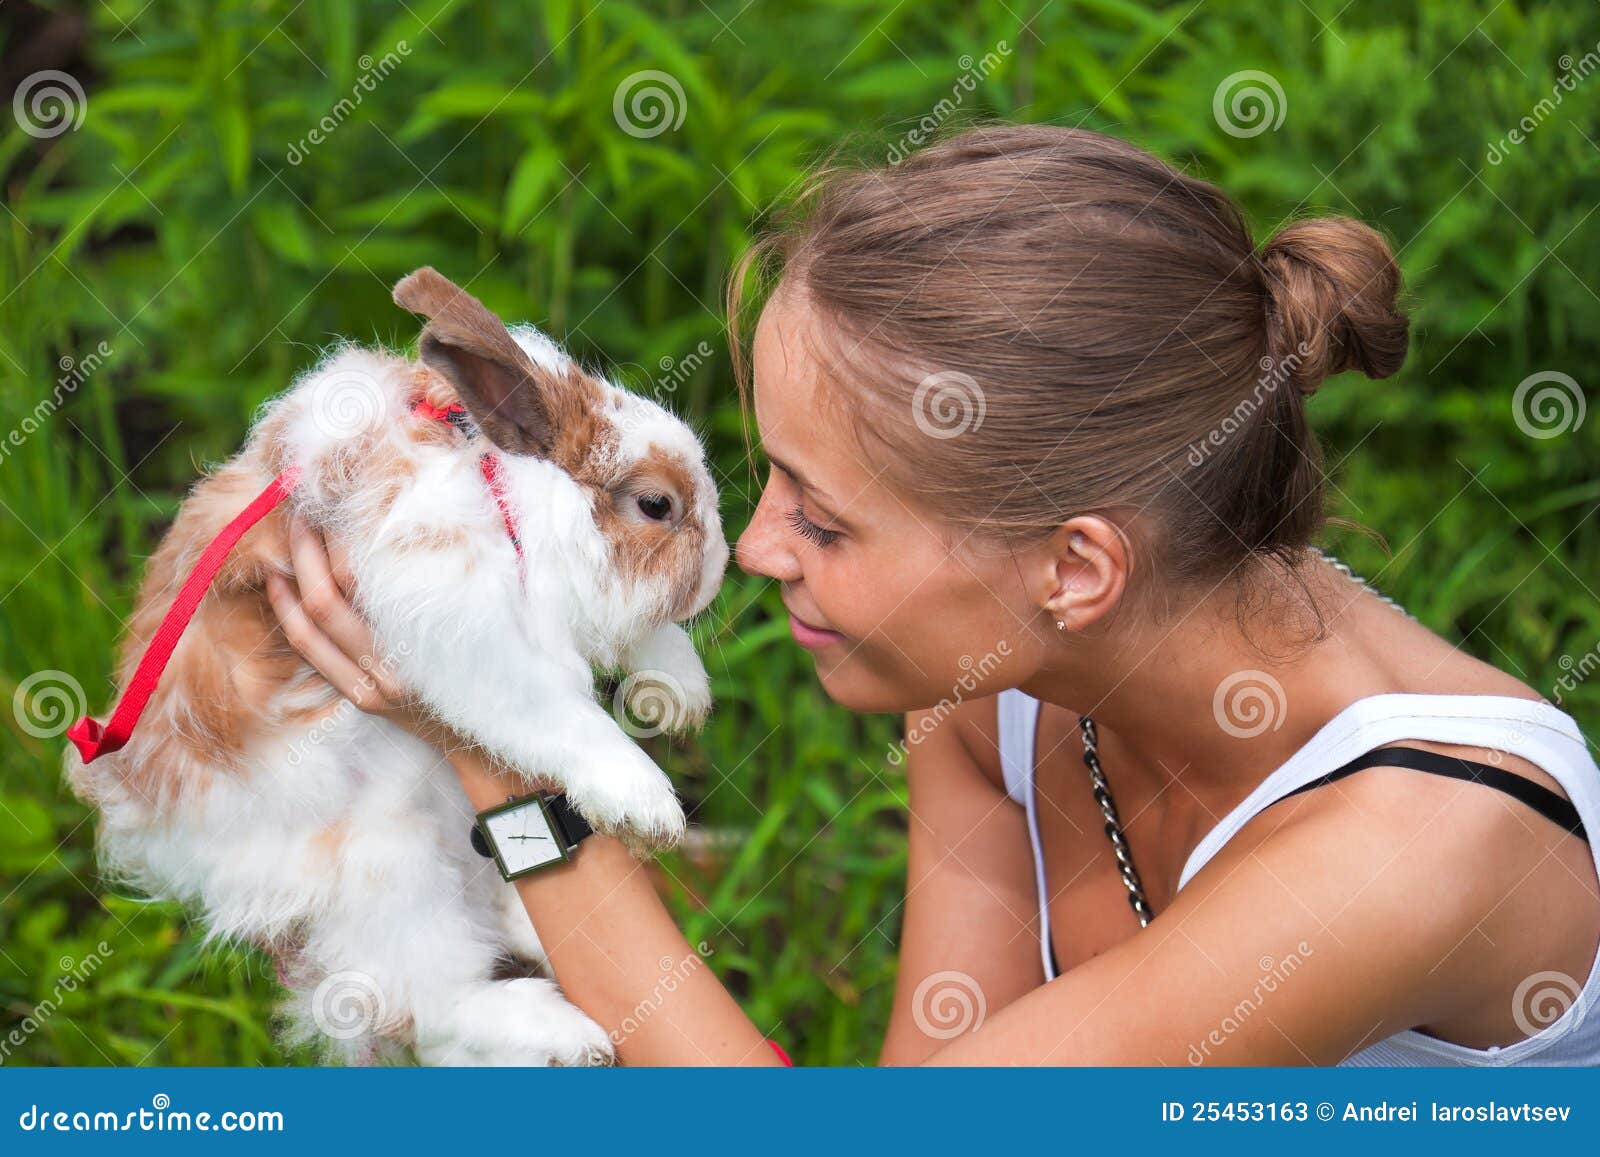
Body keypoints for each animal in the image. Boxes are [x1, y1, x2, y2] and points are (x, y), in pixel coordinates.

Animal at [66, 267, 729, 1066]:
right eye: (656, 505)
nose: (719, 571)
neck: (499, 494)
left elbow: (638, 638)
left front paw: (676, 691)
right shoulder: (472, 644)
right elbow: (562, 719)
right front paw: (648, 806)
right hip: (394, 870)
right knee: (428, 1008)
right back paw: (567, 1034)